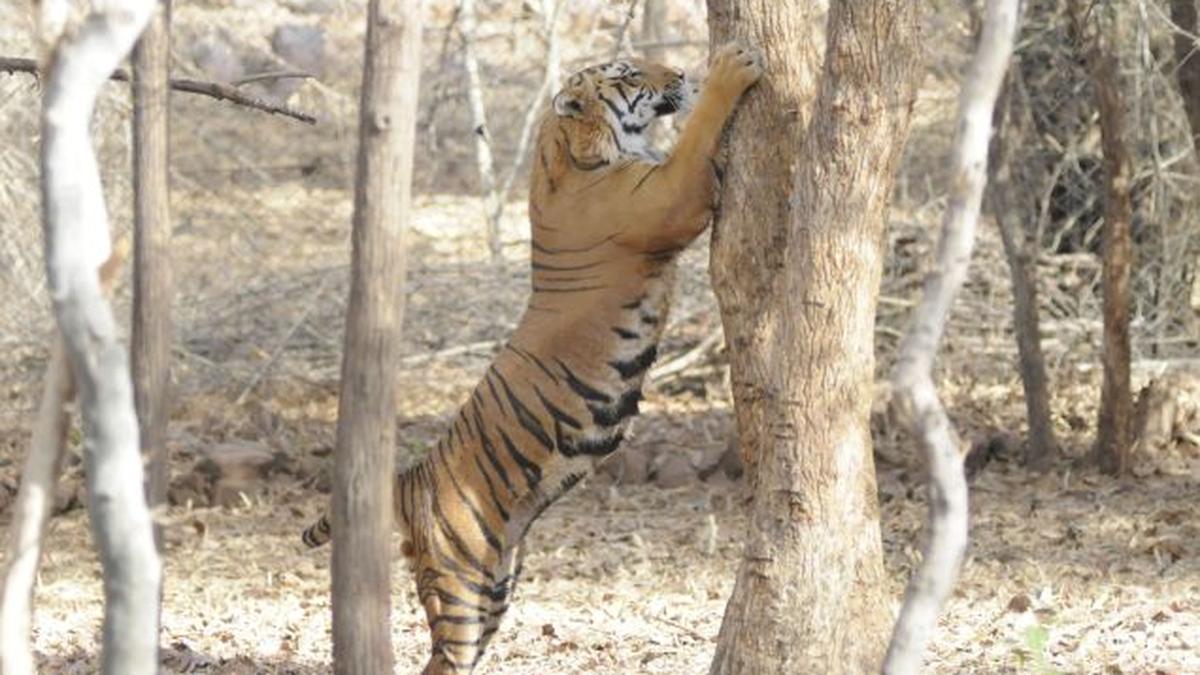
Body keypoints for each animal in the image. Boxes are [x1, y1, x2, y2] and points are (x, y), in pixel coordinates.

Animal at [302, 40, 763, 674]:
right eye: (627, 74)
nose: (678, 73)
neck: (567, 146)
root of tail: (407, 481)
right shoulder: (667, 198)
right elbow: (696, 137)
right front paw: (731, 70)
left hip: (497, 585)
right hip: (462, 585)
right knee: (444, 660)